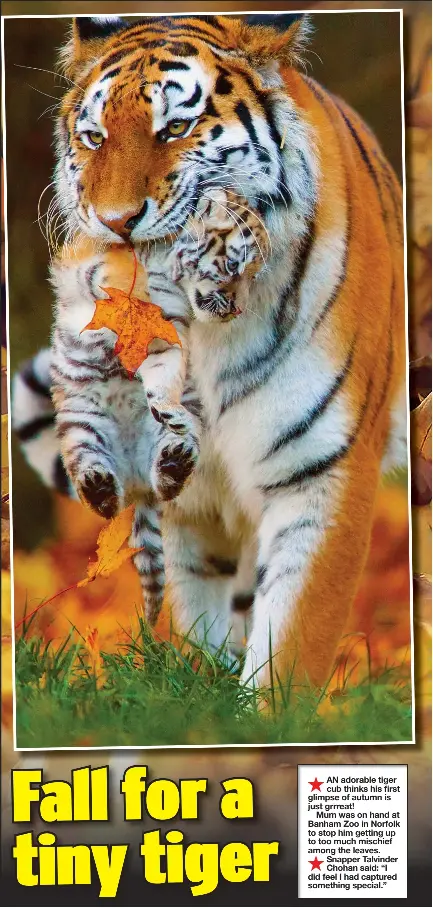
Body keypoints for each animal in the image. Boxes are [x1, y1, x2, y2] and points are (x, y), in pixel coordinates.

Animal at [12, 13, 406, 692]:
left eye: (175, 128)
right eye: (94, 137)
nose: (114, 220)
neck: (202, 335)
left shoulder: (323, 472)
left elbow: (292, 646)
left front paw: (265, 713)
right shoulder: (190, 508)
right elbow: (199, 618)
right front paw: (202, 692)